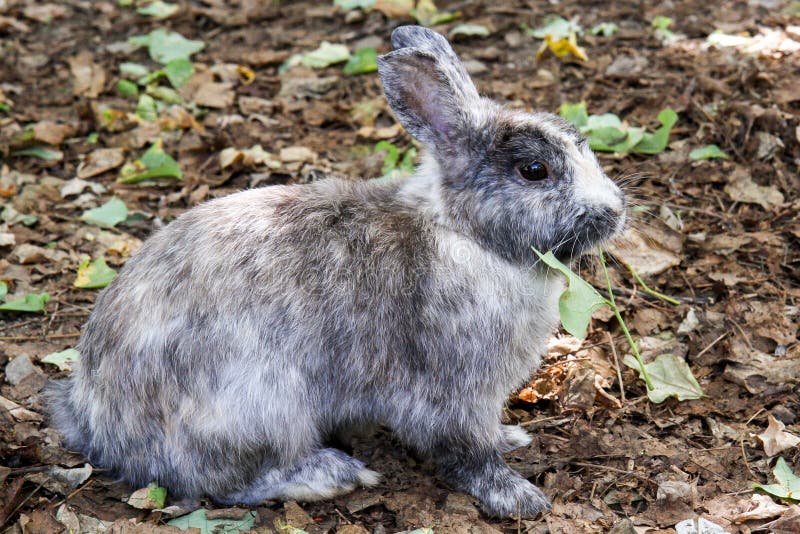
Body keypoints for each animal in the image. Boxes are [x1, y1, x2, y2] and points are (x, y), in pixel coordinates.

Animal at [45, 25, 625, 518]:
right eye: (534, 170)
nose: (615, 212)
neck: (464, 234)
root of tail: (98, 424)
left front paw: (513, 438)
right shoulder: (453, 390)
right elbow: (466, 451)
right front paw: (519, 497)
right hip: (262, 406)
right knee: (227, 482)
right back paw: (333, 475)